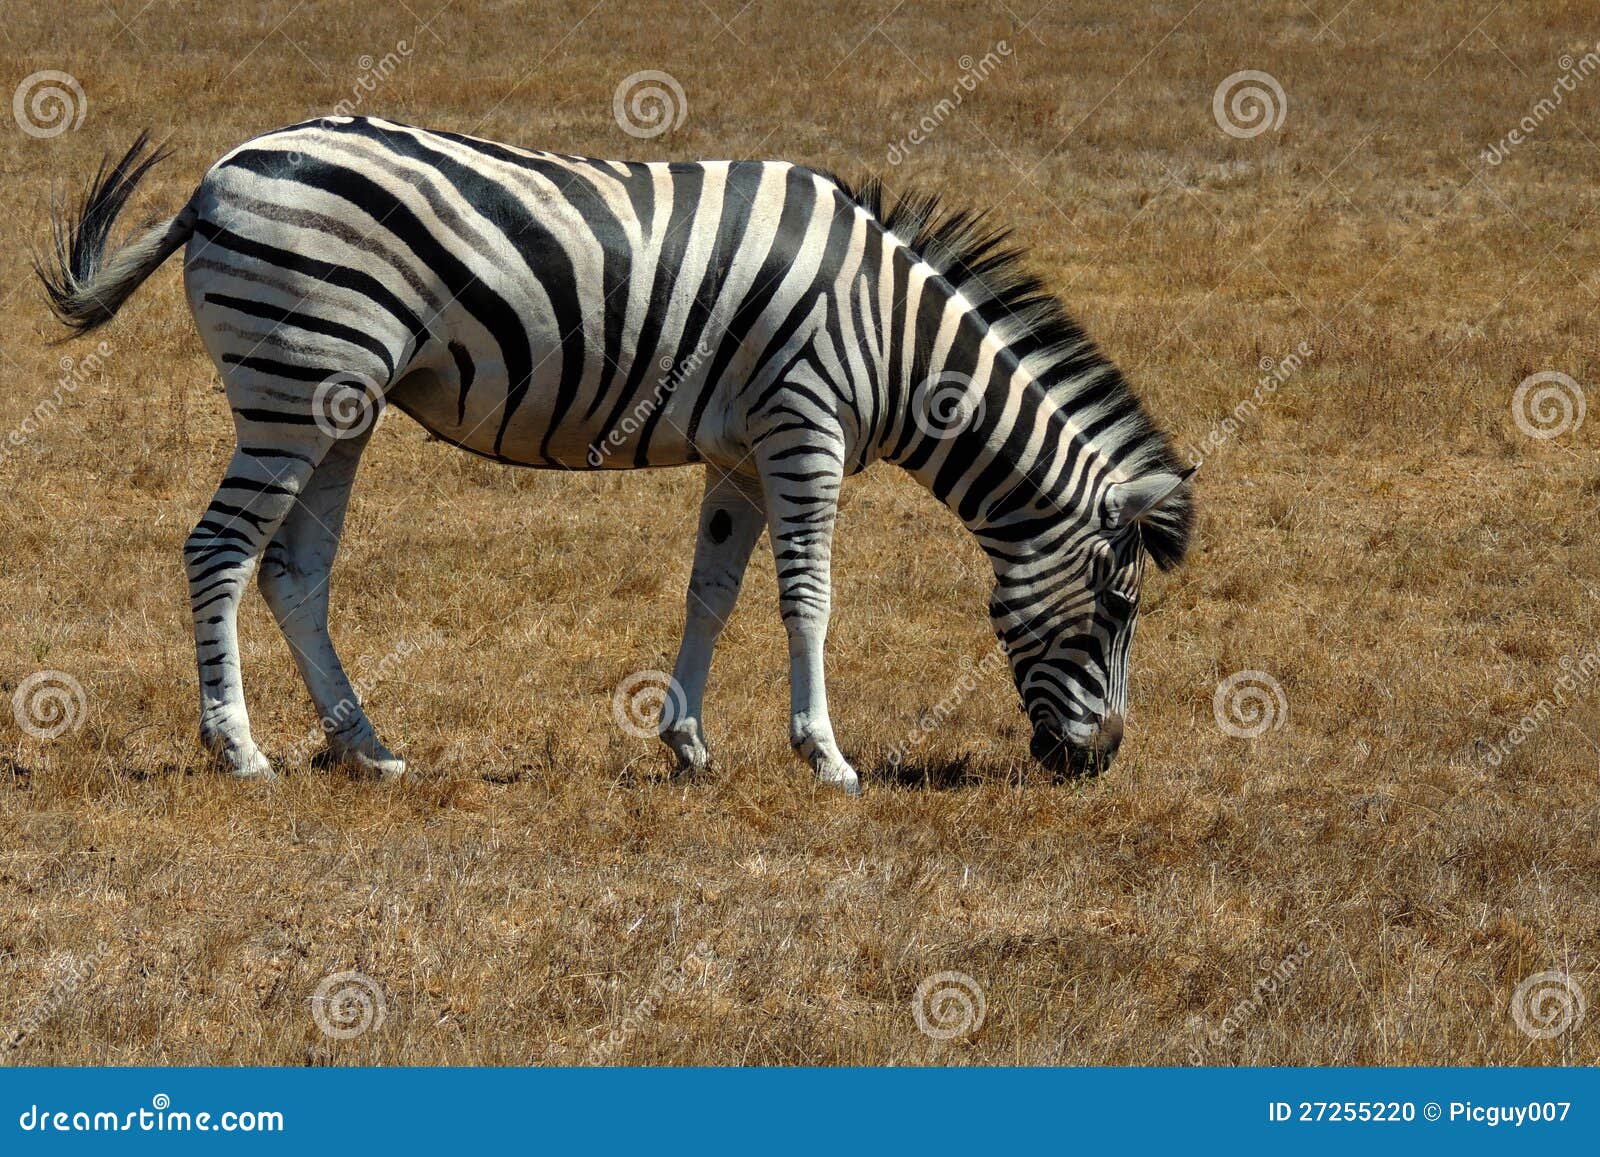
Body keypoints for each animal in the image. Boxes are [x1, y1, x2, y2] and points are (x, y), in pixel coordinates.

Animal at [39, 116, 1195, 795]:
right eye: (1120, 608)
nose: (1099, 764)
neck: (899, 339)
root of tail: (215, 179)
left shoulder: (740, 454)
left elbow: (711, 592)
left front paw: (686, 741)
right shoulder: (804, 426)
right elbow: (808, 596)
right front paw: (824, 755)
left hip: (341, 402)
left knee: (292, 570)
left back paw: (365, 745)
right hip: (292, 389)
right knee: (217, 551)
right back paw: (238, 748)